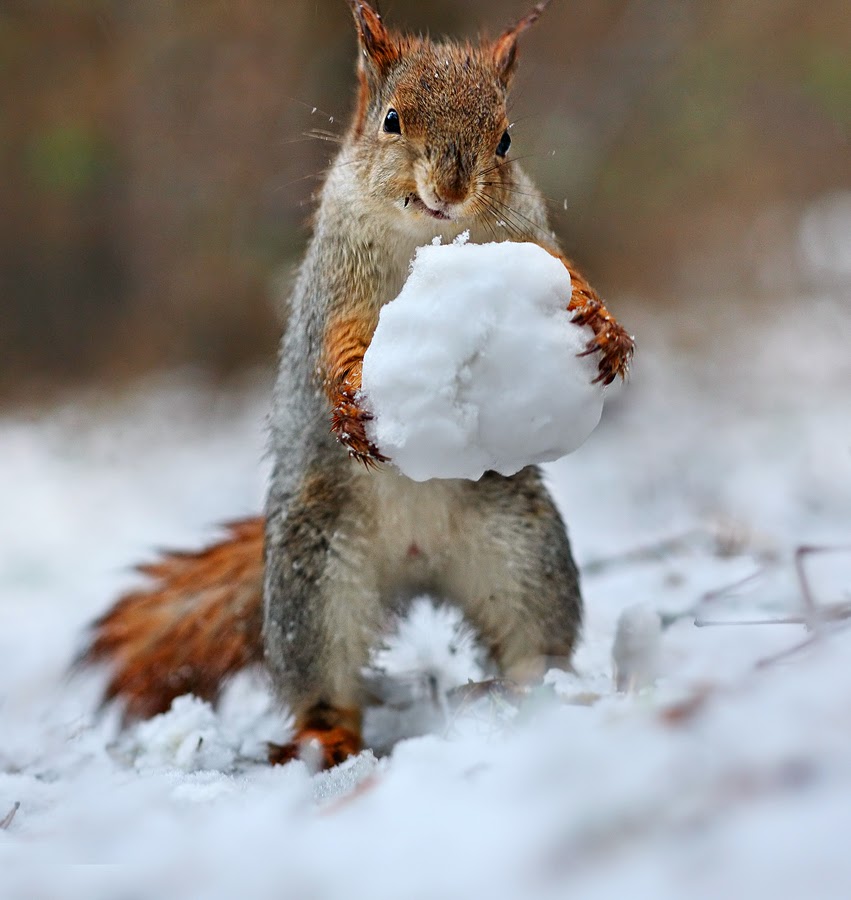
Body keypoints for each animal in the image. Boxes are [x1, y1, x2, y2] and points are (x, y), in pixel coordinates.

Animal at [81, 0, 633, 770]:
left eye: (505, 138)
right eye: (392, 120)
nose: (450, 191)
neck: (426, 238)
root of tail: (416, 558)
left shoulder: (536, 240)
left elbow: (572, 277)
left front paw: (606, 330)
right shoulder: (335, 285)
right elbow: (338, 346)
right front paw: (347, 402)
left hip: (525, 558)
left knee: (532, 639)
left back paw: (541, 698)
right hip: (313, 588)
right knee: (323, 682)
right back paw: (328, 737)